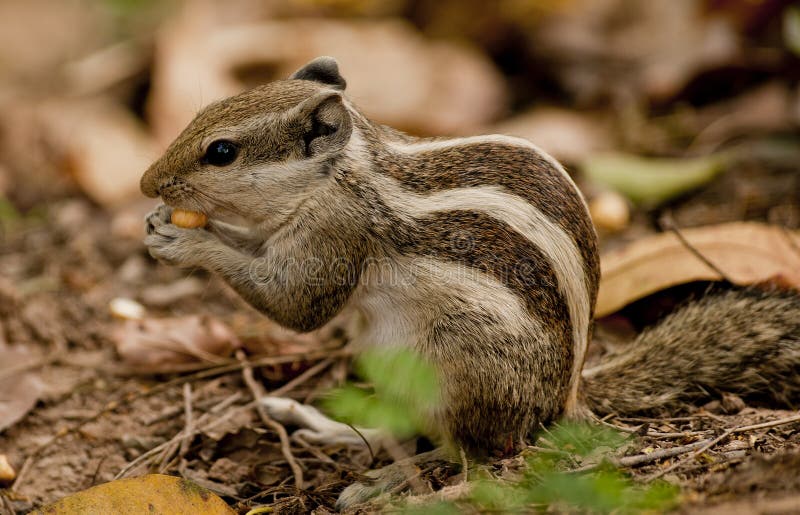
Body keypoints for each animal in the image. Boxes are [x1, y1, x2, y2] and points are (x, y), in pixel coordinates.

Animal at [141, 56, 800, 505]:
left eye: (221, 152)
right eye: (202, 114)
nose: (149, 183)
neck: (344, 170)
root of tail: (563, 401)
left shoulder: (335, 231)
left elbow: (297, 304)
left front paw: (187, 241)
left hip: (461, 365)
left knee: (466, 453)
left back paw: (384, 482)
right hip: (386, 358)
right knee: (404, 428)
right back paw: (330, 430)